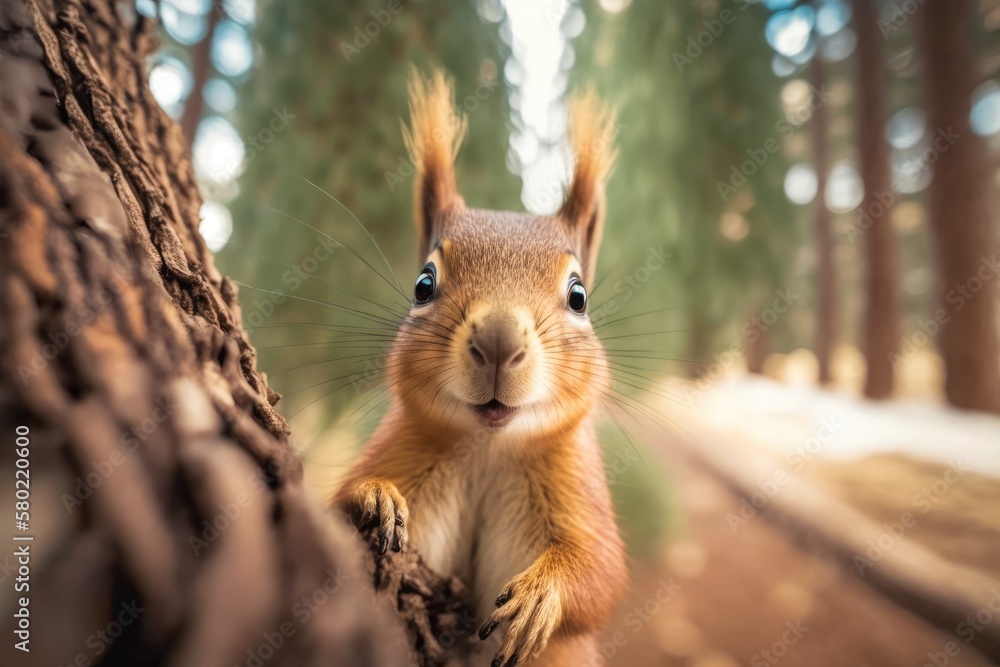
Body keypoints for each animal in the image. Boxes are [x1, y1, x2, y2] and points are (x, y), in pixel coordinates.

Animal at [334, 68, 628, 667]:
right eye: (423, 284)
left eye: (579, 296)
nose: (498, 339)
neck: (488, 448)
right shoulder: (402, 447)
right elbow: (329, 505)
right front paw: (371, 497)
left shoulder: (579, 484)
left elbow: (601, 575)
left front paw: (541, 595)